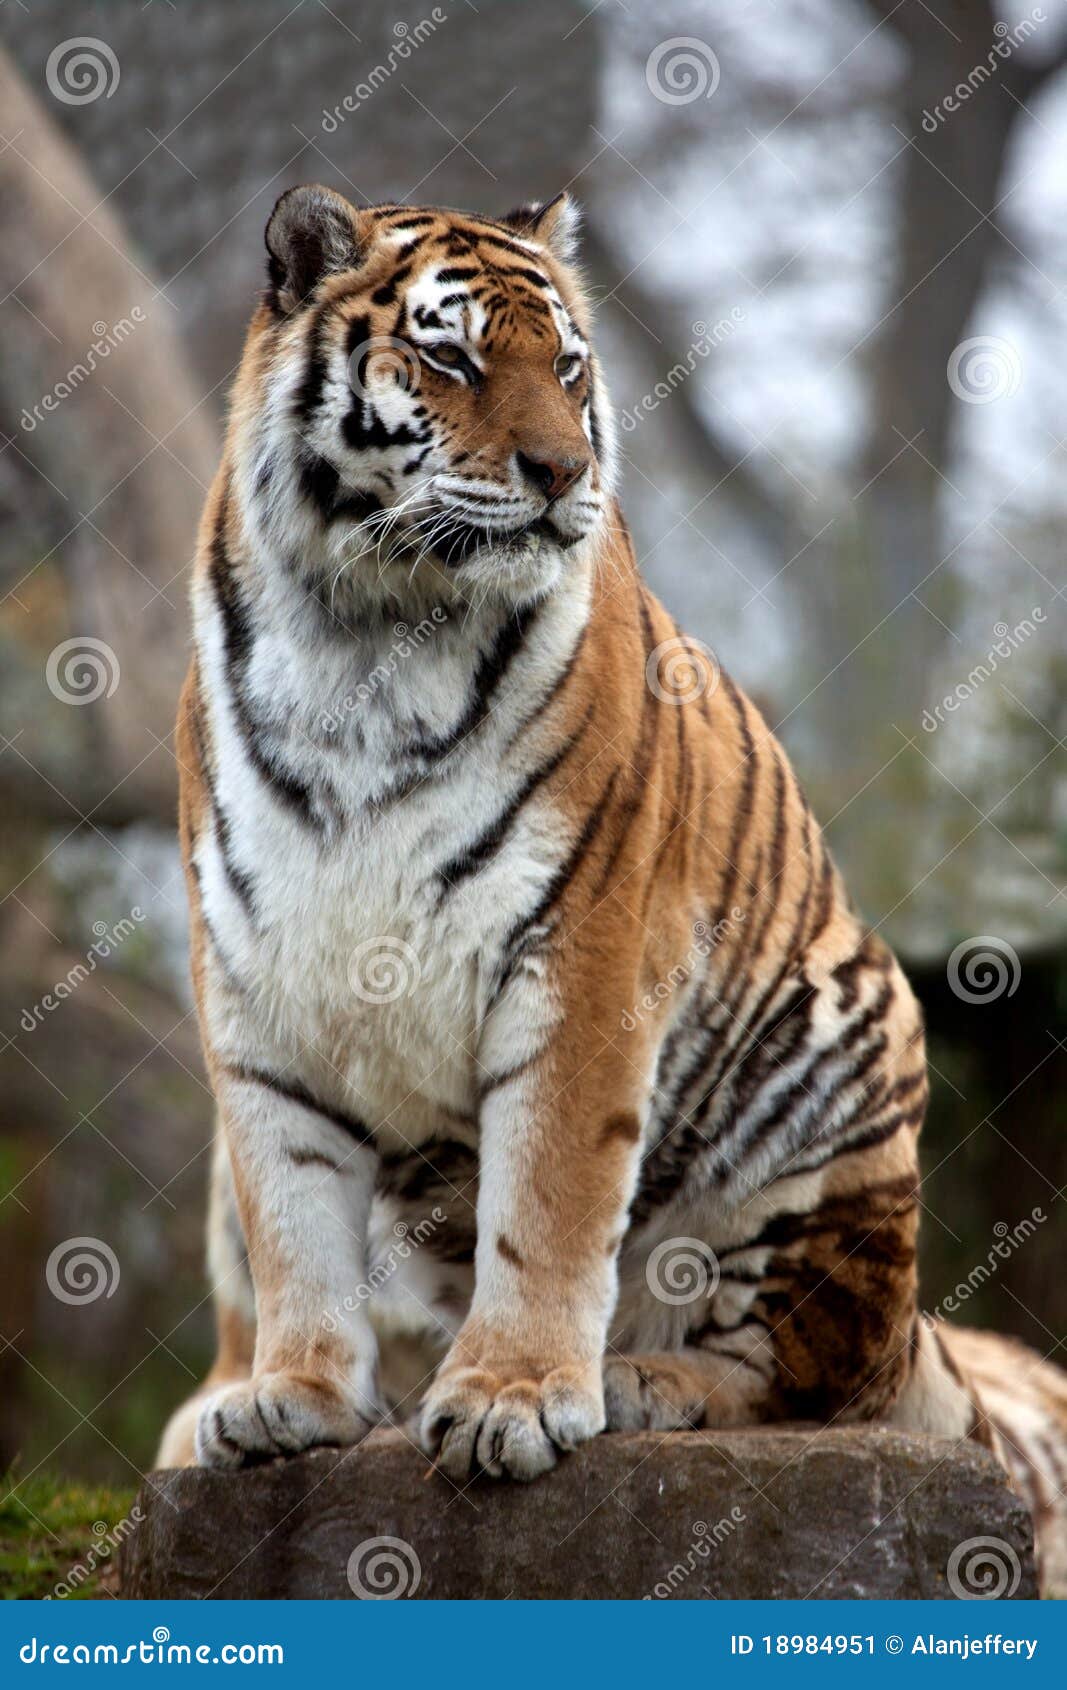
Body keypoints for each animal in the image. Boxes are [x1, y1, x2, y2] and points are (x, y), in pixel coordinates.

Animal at [158, 183, 1067, 1594]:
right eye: (450, 357)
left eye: (570, 368)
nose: (562, 474)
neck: (368, 627)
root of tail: (918, 1315)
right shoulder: (254, 972)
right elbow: (290, 1211)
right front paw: (293, 1399)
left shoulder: (580, 946)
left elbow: (544, 1200)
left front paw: (513, 1398)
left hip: (835, 1068)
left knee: (811, 1367)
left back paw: (642, 1380)